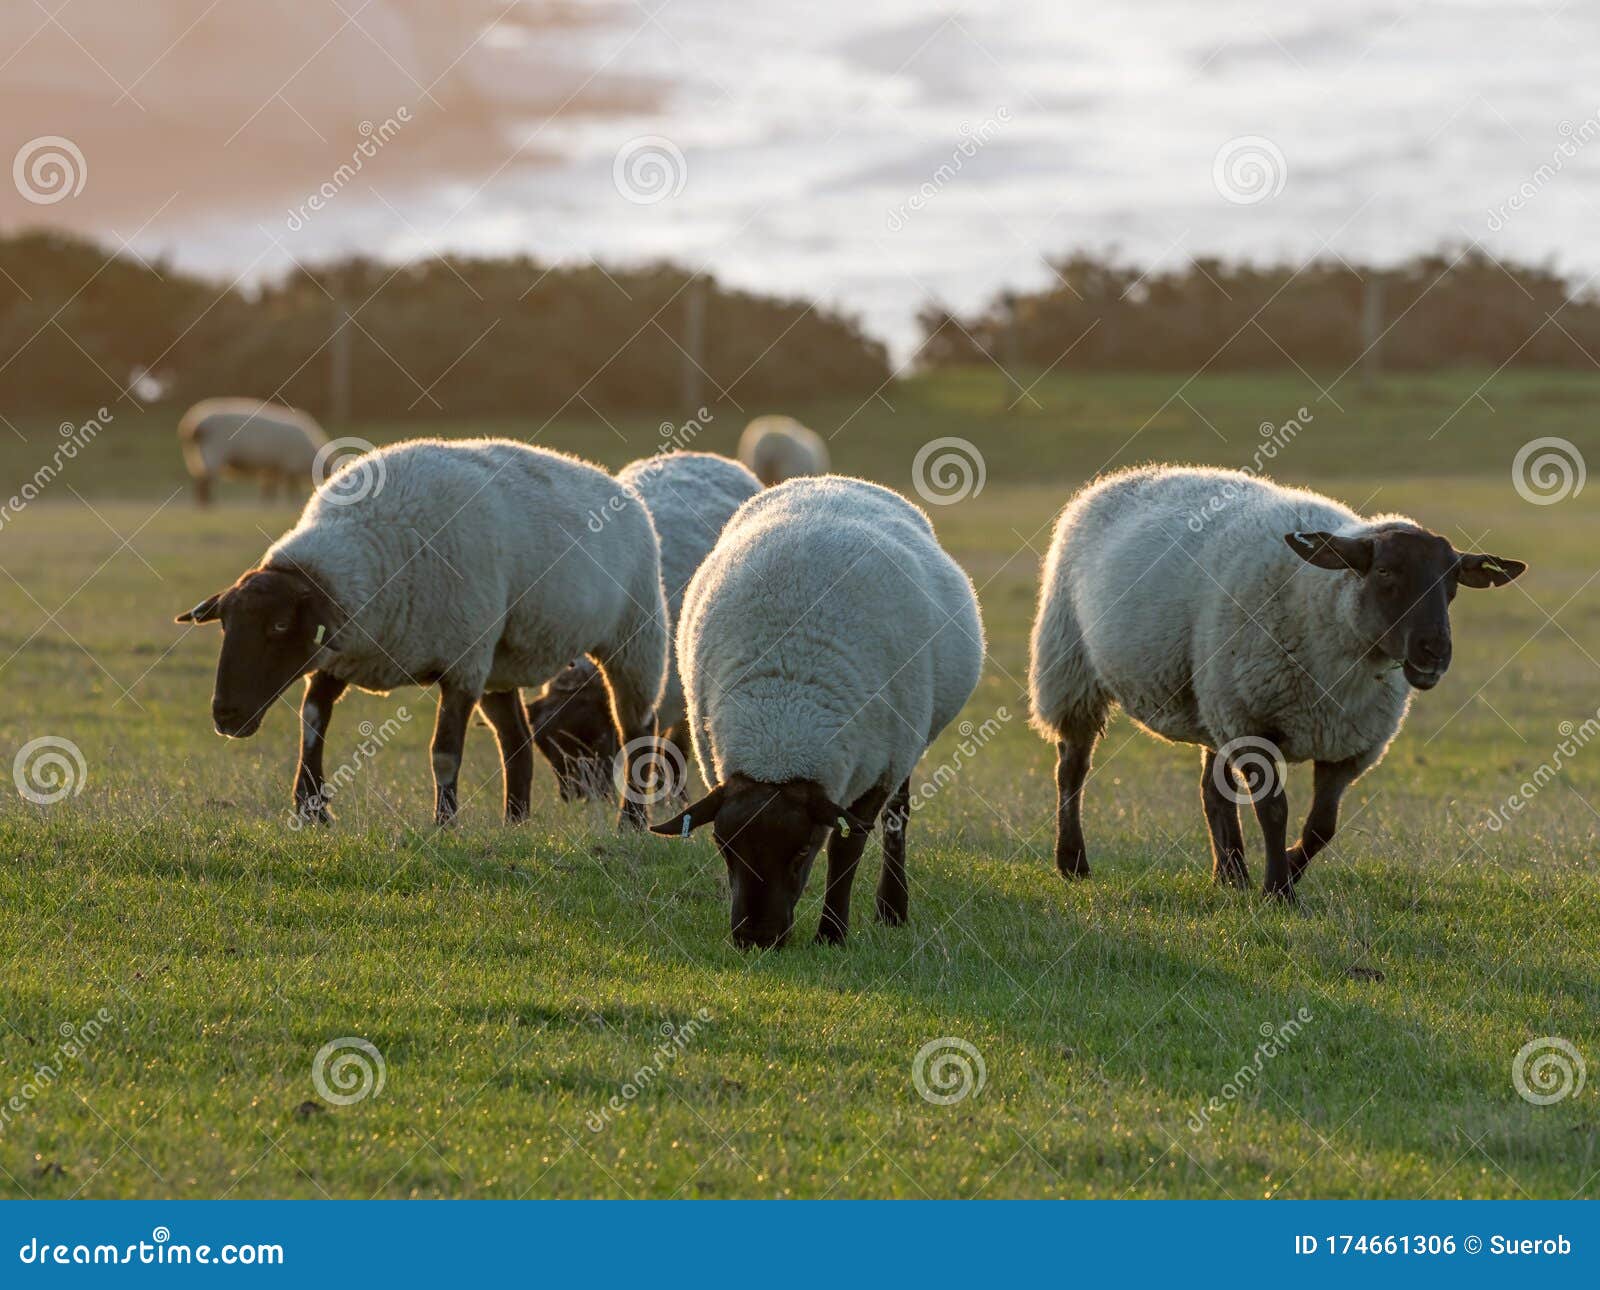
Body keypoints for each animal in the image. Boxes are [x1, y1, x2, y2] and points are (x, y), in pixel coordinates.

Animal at [175, 438, 669, 830]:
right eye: (226, 624)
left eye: (278, 625)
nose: (226, 716)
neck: (372, 547)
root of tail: (615, 485)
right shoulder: (341, 656)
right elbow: (312, 726)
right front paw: (311, 810)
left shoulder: (462, 664)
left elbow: (444, 751)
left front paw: (444, 823)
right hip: (500, 659)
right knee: (516, 740)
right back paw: (515, 822)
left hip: (636, 638)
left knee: (637, 729)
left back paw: (631, 822)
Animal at [178, 398, 327, 506]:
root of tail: (193, 427)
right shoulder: (290, 464)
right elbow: (291, 487)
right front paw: (293, 502)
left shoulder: (274, 466)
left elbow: (269, 486)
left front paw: (267, 503)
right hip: (213, 450)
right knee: (204, 479)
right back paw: (207, 504)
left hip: (197, 454)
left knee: (201, 477)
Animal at [526, 451, 762, 801]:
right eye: (546, 745)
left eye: (599, 737)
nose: (581, 801)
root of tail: (695, 455)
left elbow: (669, 753)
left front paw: (671, 799)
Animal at [652, 475, 984, 948]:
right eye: (722, 846)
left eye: (803, 850)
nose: (756, 939)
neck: (782, 718)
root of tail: (837, 480)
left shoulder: (879, 766)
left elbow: (847, 848)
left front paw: (831, 934)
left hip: (908, 741)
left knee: (897, 819)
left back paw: (892, 910)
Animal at [1028, 465, 1527, 899]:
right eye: (1385, 572)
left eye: (1453, 582)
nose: (1434, 651)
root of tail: (1120, 477)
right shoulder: (1254, 723)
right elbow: (1274, 810)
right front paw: (1279, 891)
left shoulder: (1349, 746)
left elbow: (1322, 827)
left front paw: (1285, 866)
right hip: (1071, 668)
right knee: (1071, 769)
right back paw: (1072, 862)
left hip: (1213, 697)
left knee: (1212, 792)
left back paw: (1230, 875)